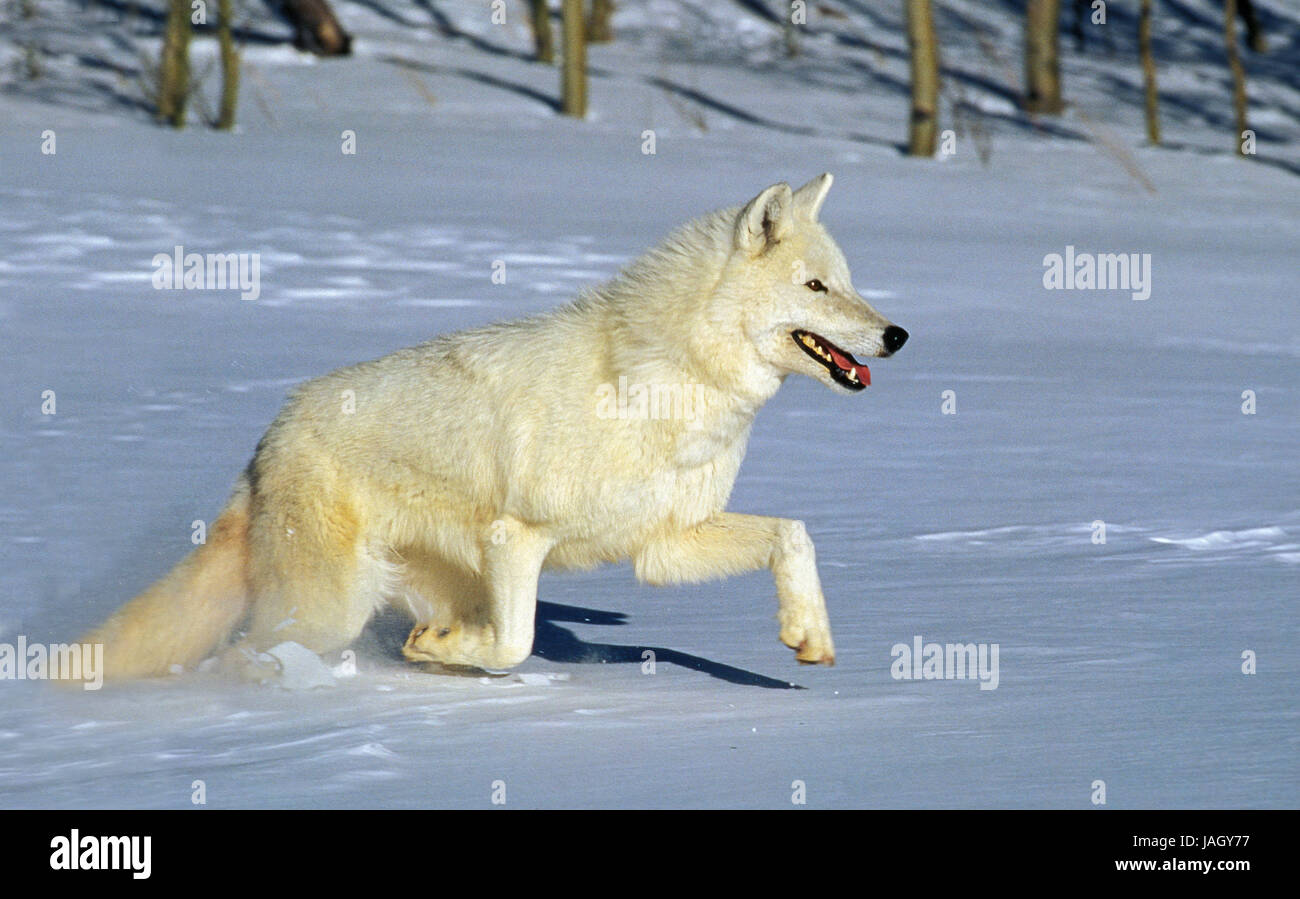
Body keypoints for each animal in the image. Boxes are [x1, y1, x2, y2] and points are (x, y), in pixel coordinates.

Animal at [78, 174, 907, 681]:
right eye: (816, 286)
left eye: (848, 282)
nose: (897, 334)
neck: (664, 380)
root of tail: (265, 440)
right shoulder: (517, 537)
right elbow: (515, 642)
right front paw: (449, 651)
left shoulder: (663, 546)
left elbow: (793, 534)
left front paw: (810, 637)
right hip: (329, 609)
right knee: (238, 656)